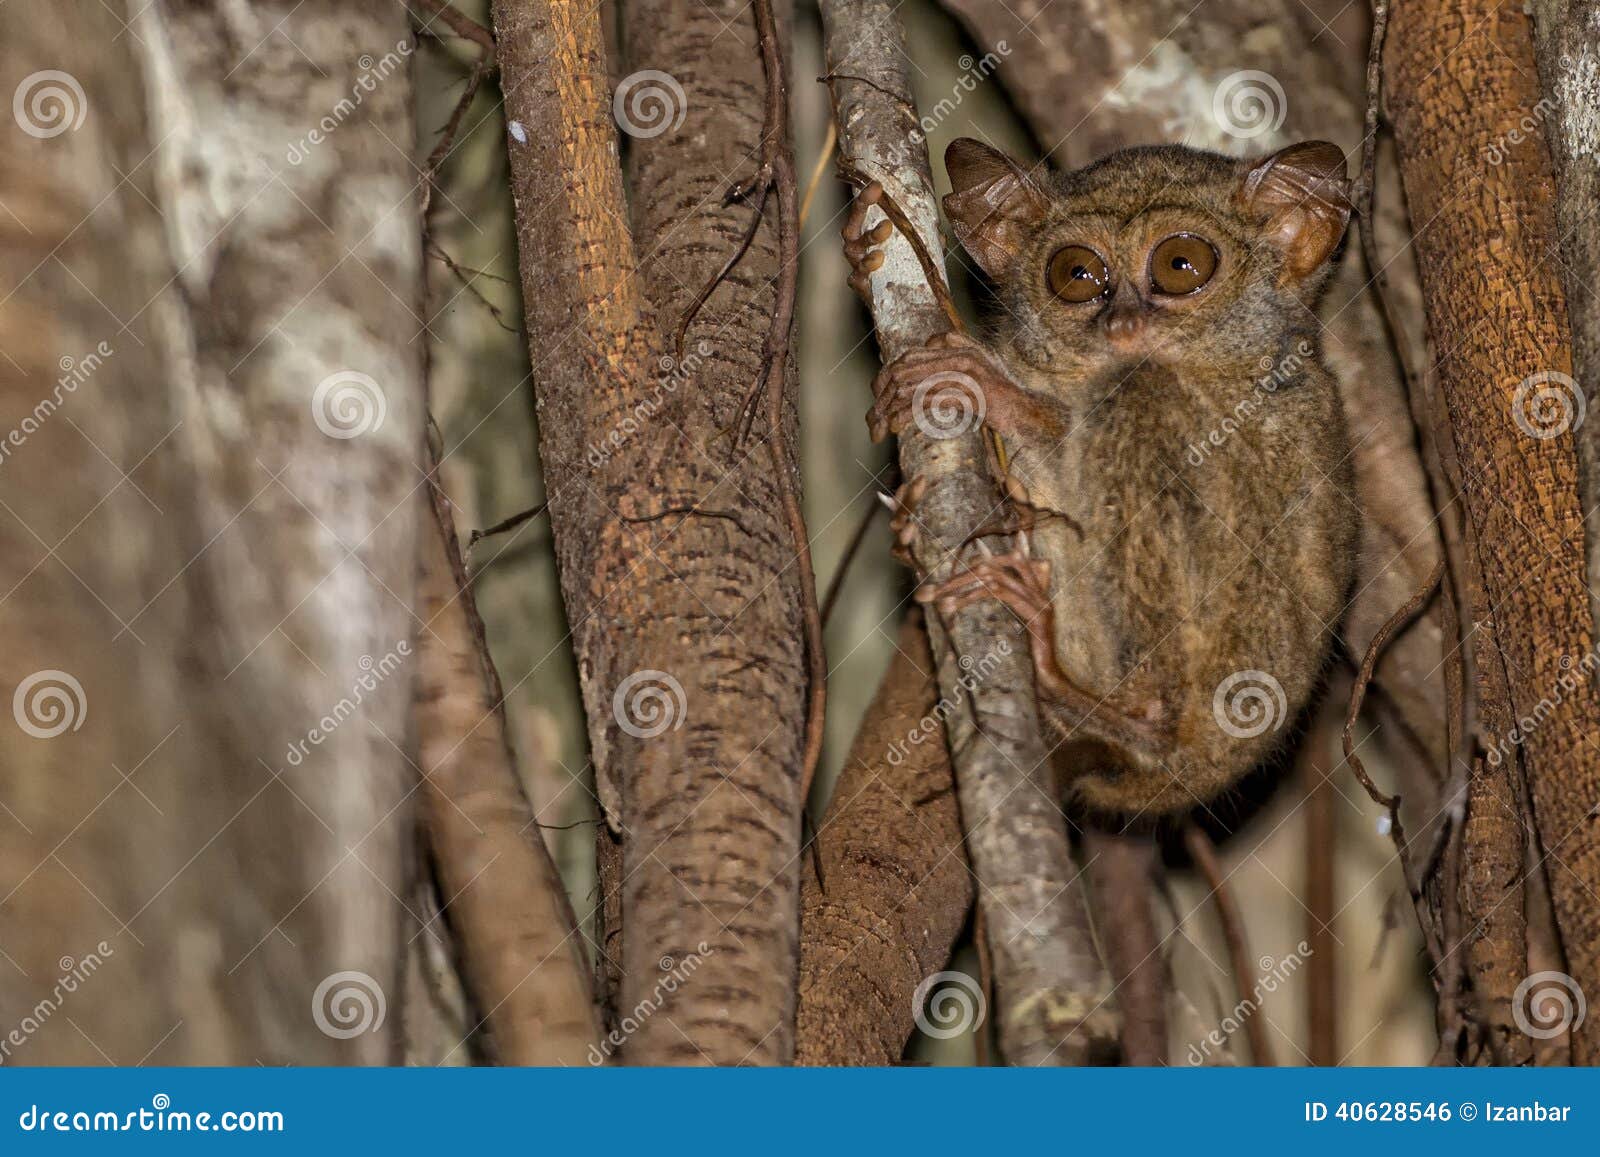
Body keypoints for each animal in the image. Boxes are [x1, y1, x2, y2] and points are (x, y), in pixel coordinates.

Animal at [844, 137, 1360, 819]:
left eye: (1182, 265)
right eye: (1076, 275)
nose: (1122, 326)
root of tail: (1197, 779)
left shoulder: (1249, 408)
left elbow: (1078, 424)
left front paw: (990, 388)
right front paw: (860, 252)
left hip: (1238, 672)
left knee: (1138, 394)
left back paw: (1111, 699)